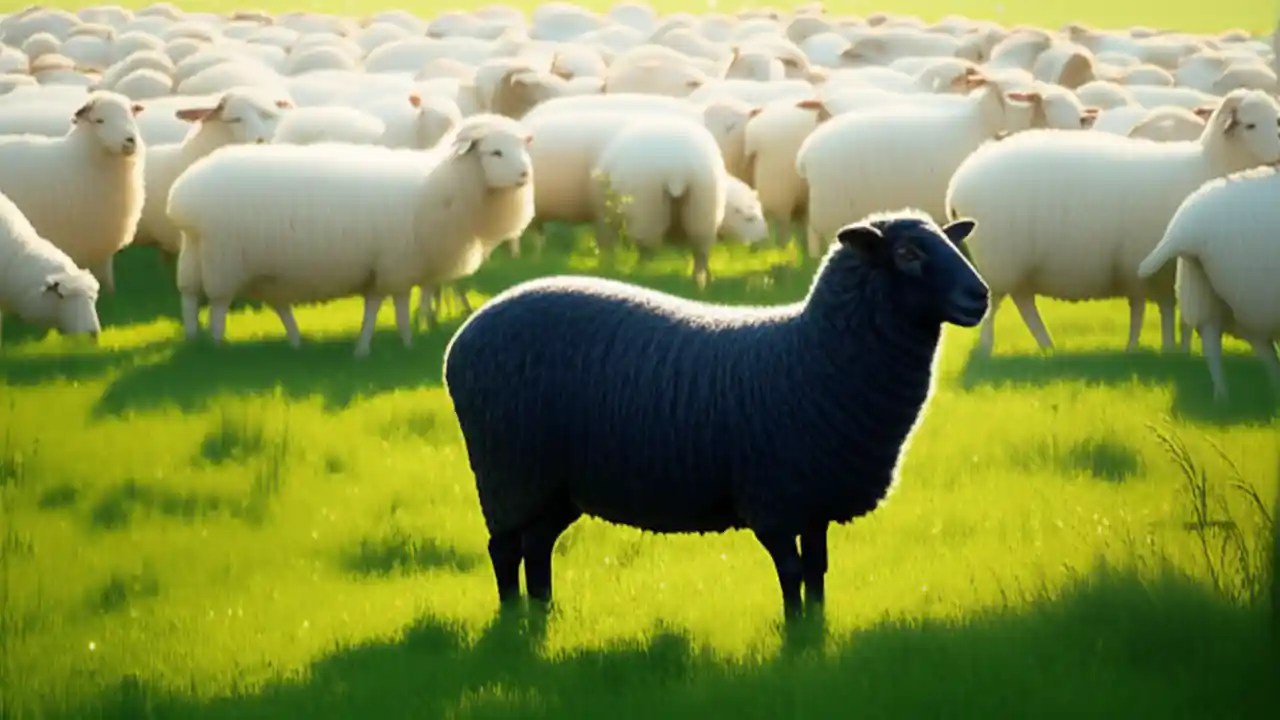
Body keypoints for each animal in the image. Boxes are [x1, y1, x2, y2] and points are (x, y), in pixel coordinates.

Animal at [168, 114, 535, 357]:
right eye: (495, 152)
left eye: (522, 148)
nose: (524, 174)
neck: (443, 183)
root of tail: (184, 194)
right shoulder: (398, 262)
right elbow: (400, 306)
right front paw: (406, 341)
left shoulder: (378, 265)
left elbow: (373, 307)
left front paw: (363, 347)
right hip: (222, 256)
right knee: (217, 304)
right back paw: (217, 345)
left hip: (204, 255)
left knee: (192, 296)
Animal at [441, 210, 990, 615]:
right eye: (908, 253)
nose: (980, 296)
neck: (812, 354)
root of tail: (463, 336)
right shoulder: (773, 500)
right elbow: (791, 575)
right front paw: (796, 638)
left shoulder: (814, 497)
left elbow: (817, 572)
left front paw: (817, 630)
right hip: (506, 472)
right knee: (504, 549)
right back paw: (513, 622)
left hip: (554, 483)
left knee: (537, 546)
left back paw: (542, 614)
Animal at [944, 89, 1280, 354]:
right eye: (1250, 124)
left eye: (1277, 120)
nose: (1278, 156)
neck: (1206, 164)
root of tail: (960, 178)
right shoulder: (1148, 262)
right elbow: (1153, 309)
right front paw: (1159, 348)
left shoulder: (1167, 266)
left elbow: (1164, 311)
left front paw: (1170, 350)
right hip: (1000, 257)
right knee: (997, 303)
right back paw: (988, 347)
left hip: (1018, 263)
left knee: (1024, 302)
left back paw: (1047, 346)